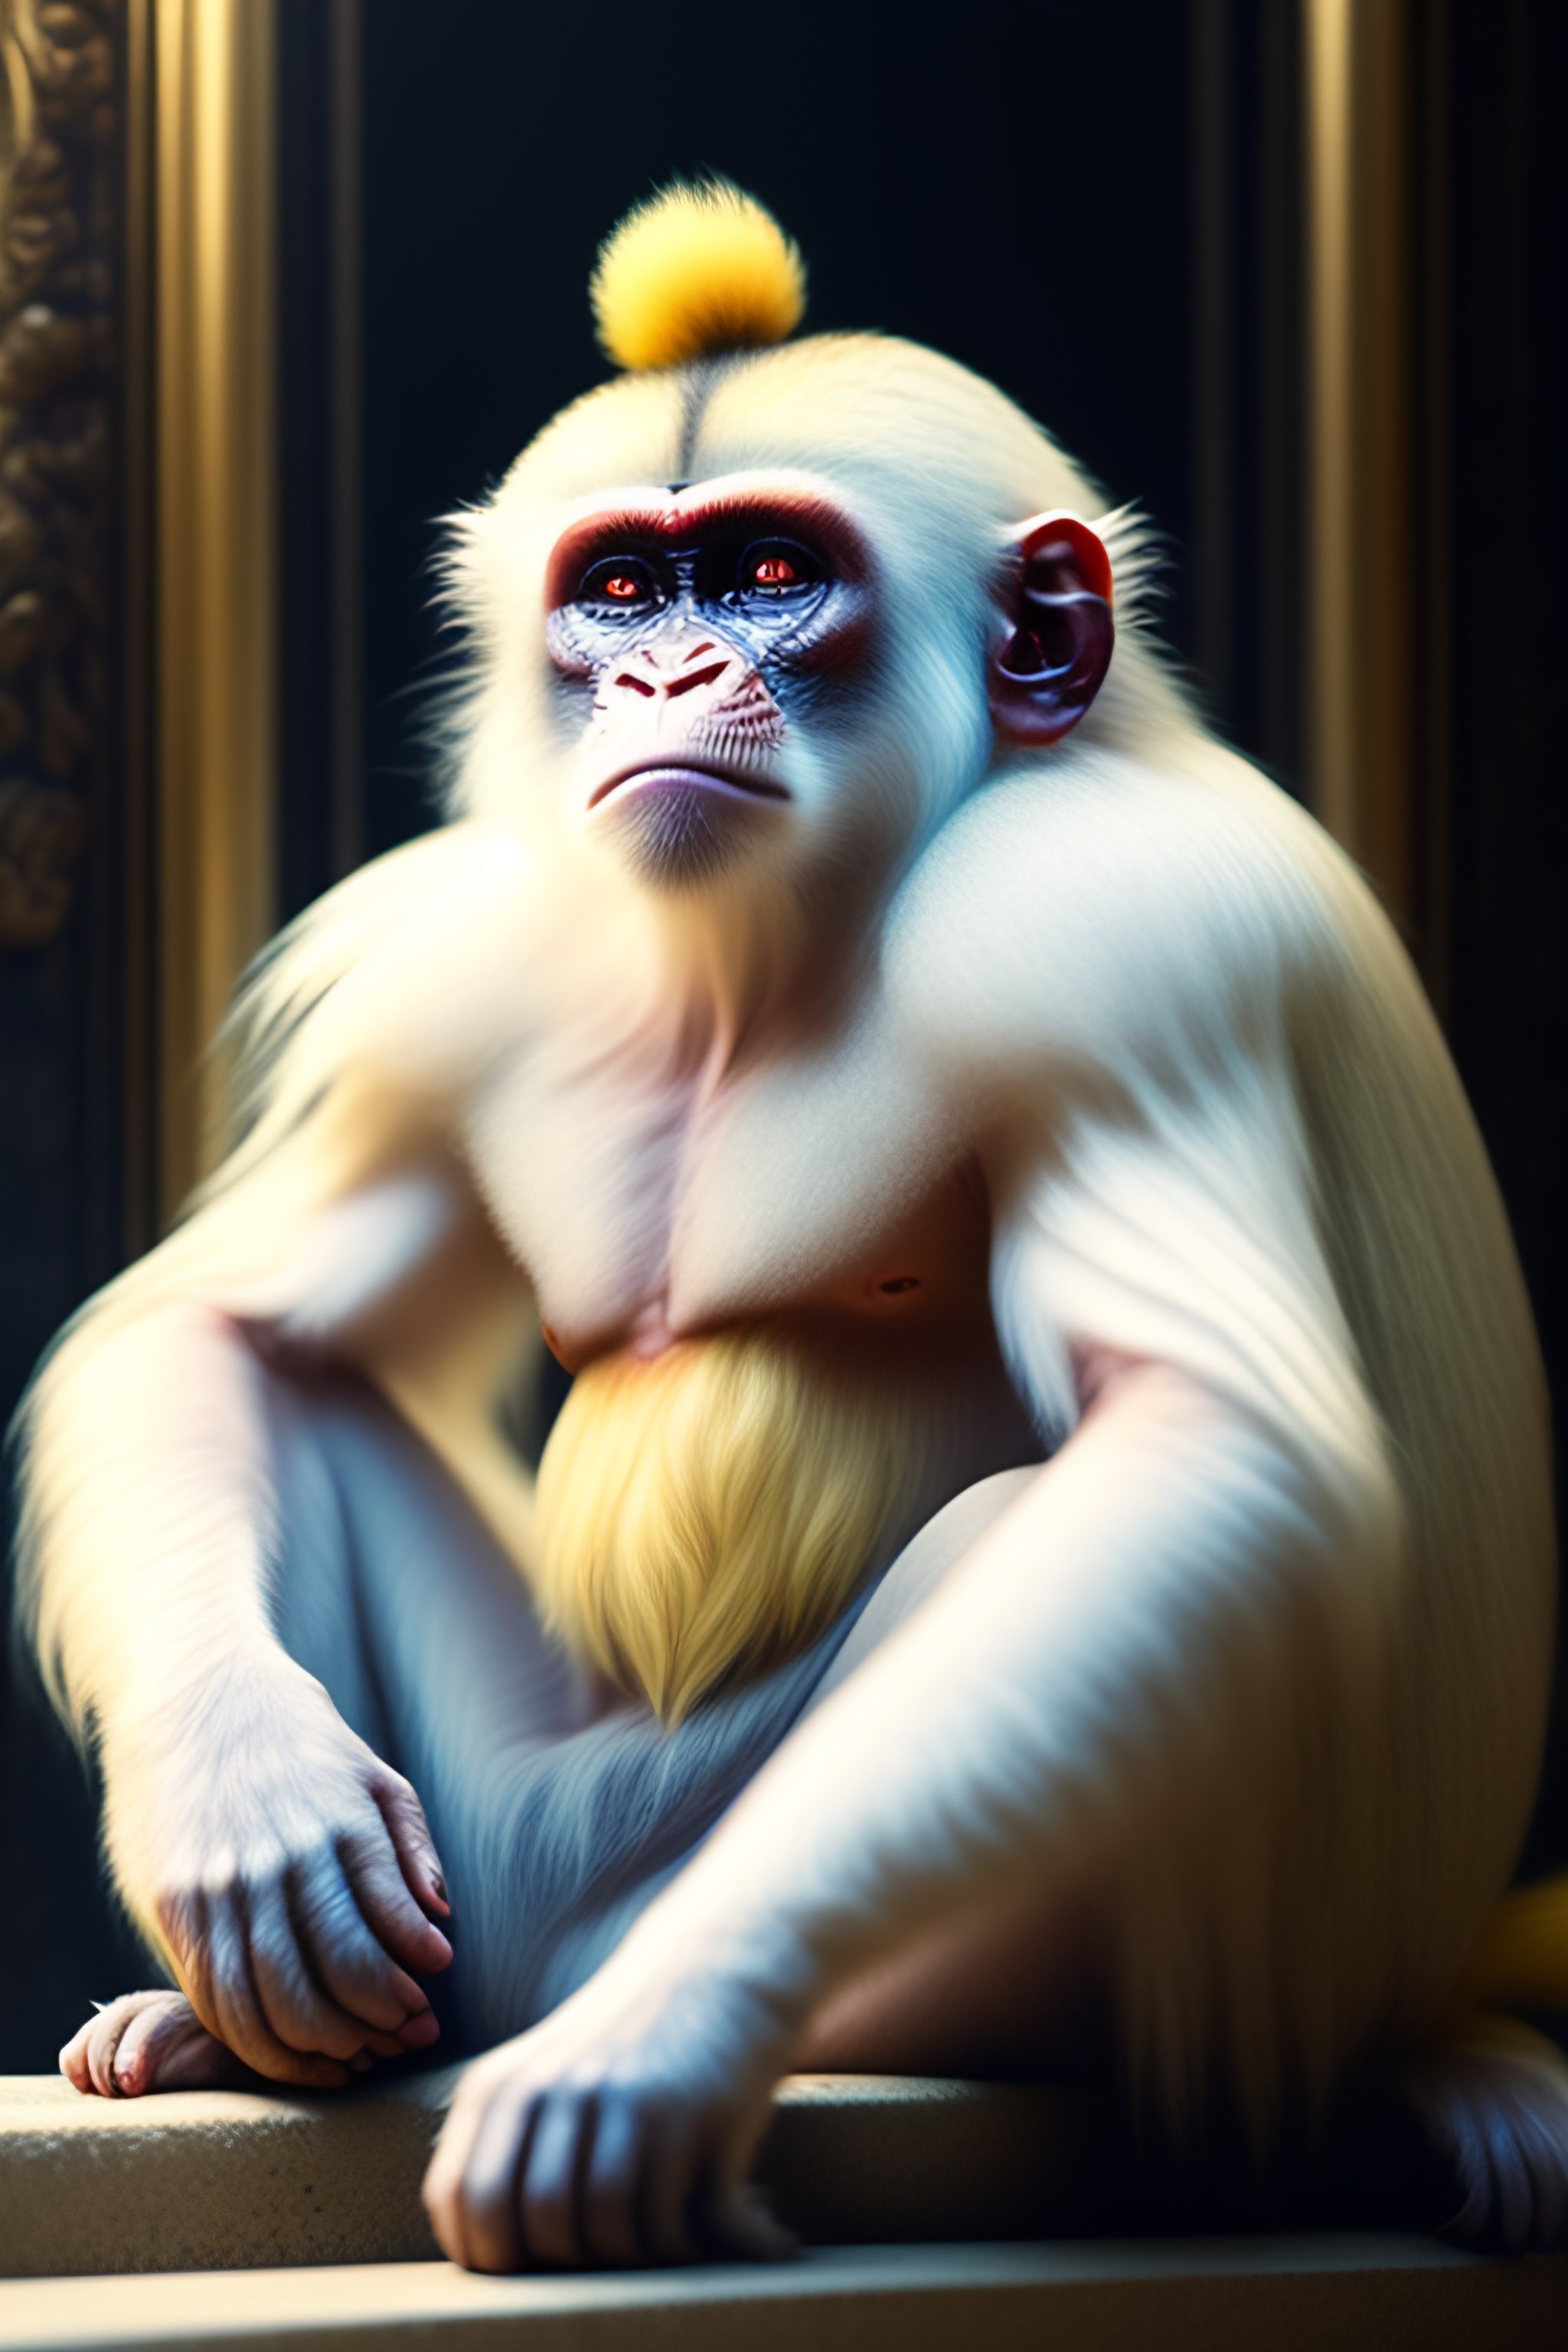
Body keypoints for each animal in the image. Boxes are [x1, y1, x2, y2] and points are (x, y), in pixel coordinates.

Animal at [17, 179, 1568, 2270]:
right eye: (617, 591)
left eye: (764, 574)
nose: (666, 676)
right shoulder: (450, 959)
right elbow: (210, 1324)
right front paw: (244, 1795)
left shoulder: (1104, 928)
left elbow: (1216, 1452)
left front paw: (674, 2038)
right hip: (508, 1857)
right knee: (299, 1407)